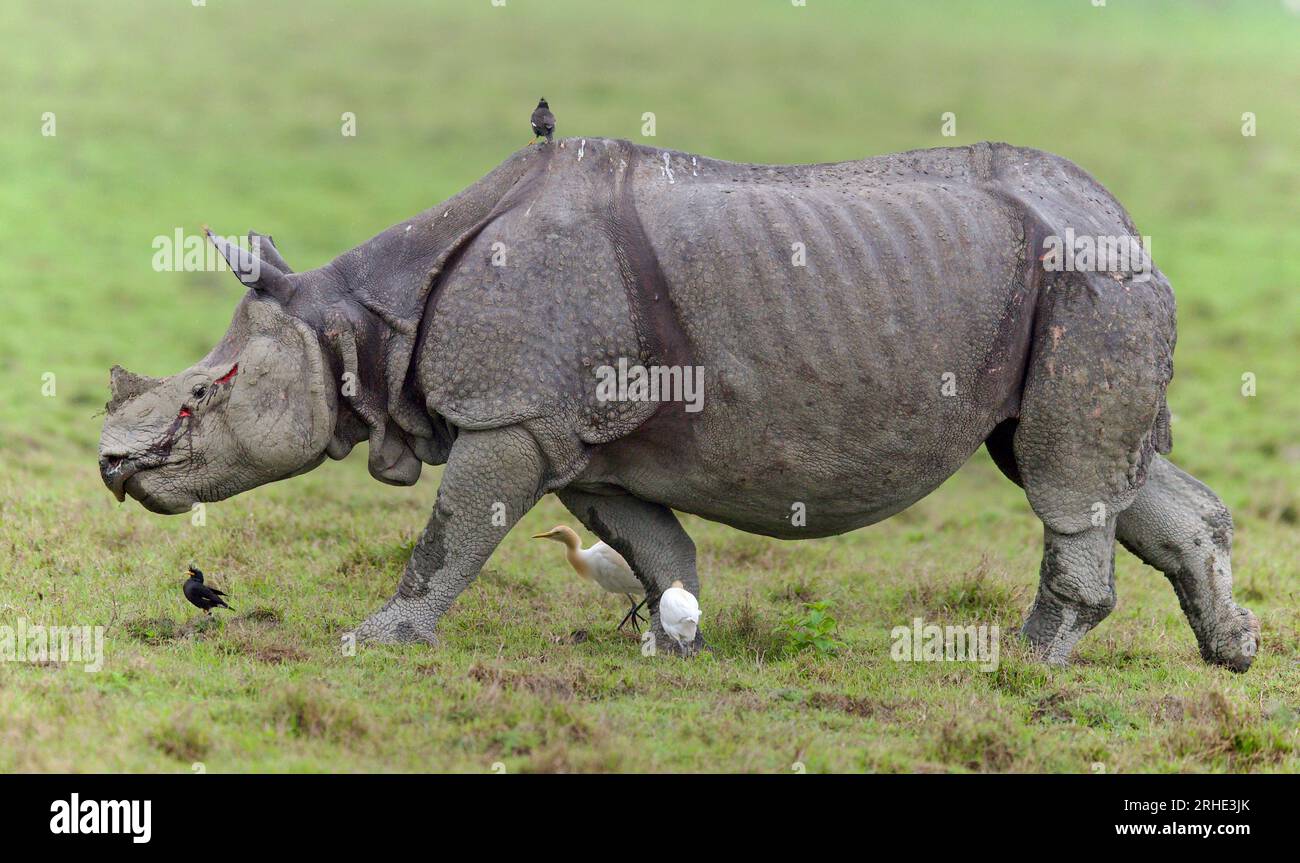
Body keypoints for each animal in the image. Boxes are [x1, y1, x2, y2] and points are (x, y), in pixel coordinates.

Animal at [99, 138, 1259, 670]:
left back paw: (1023, 664)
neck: (356, 323)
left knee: (1064, 478)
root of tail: (1123, 215)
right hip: (1080, 276)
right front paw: (672, 644)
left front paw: (379, 638)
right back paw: (1231, 651)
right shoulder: (579, 441)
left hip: (1086, 277)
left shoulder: (512, 417)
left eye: (205, 392)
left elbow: (450, 532)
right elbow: (659, 549)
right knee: (1103, 472)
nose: (112, 466)